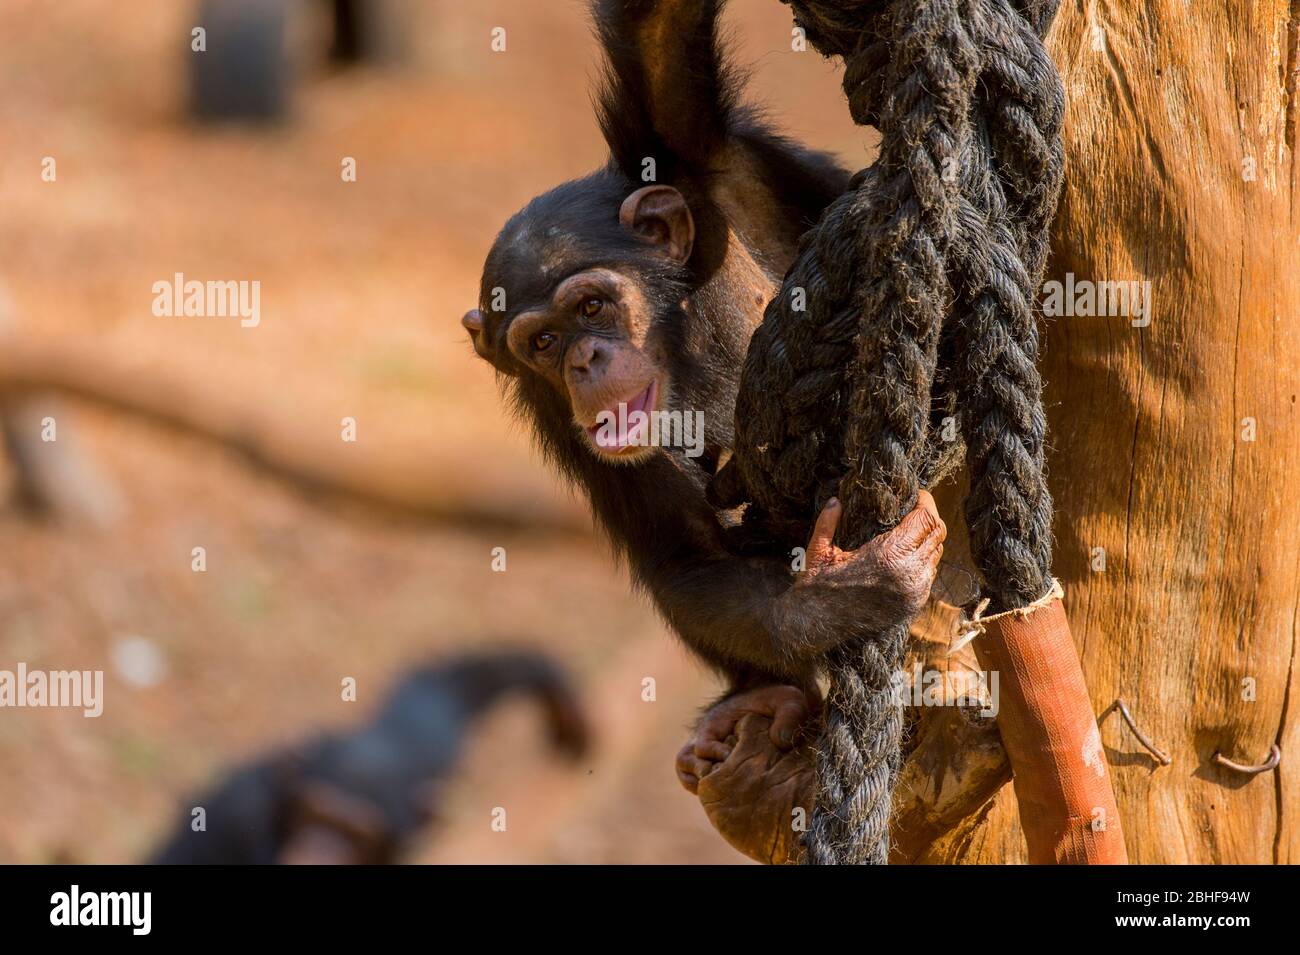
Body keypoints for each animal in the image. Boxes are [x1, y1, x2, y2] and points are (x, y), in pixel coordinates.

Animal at [149, 651, 589, 865]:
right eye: (315, 814)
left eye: (359, 837)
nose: (319, 854)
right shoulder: (236, 818)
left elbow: (438, 693)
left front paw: (558, 695)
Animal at [463, 0, 946, 767]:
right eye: (541, 342)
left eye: (590, 307)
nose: (583, 361)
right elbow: (687, 559)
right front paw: (844, 597)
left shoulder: (693, 149)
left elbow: (659, 30)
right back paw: (765, 701)